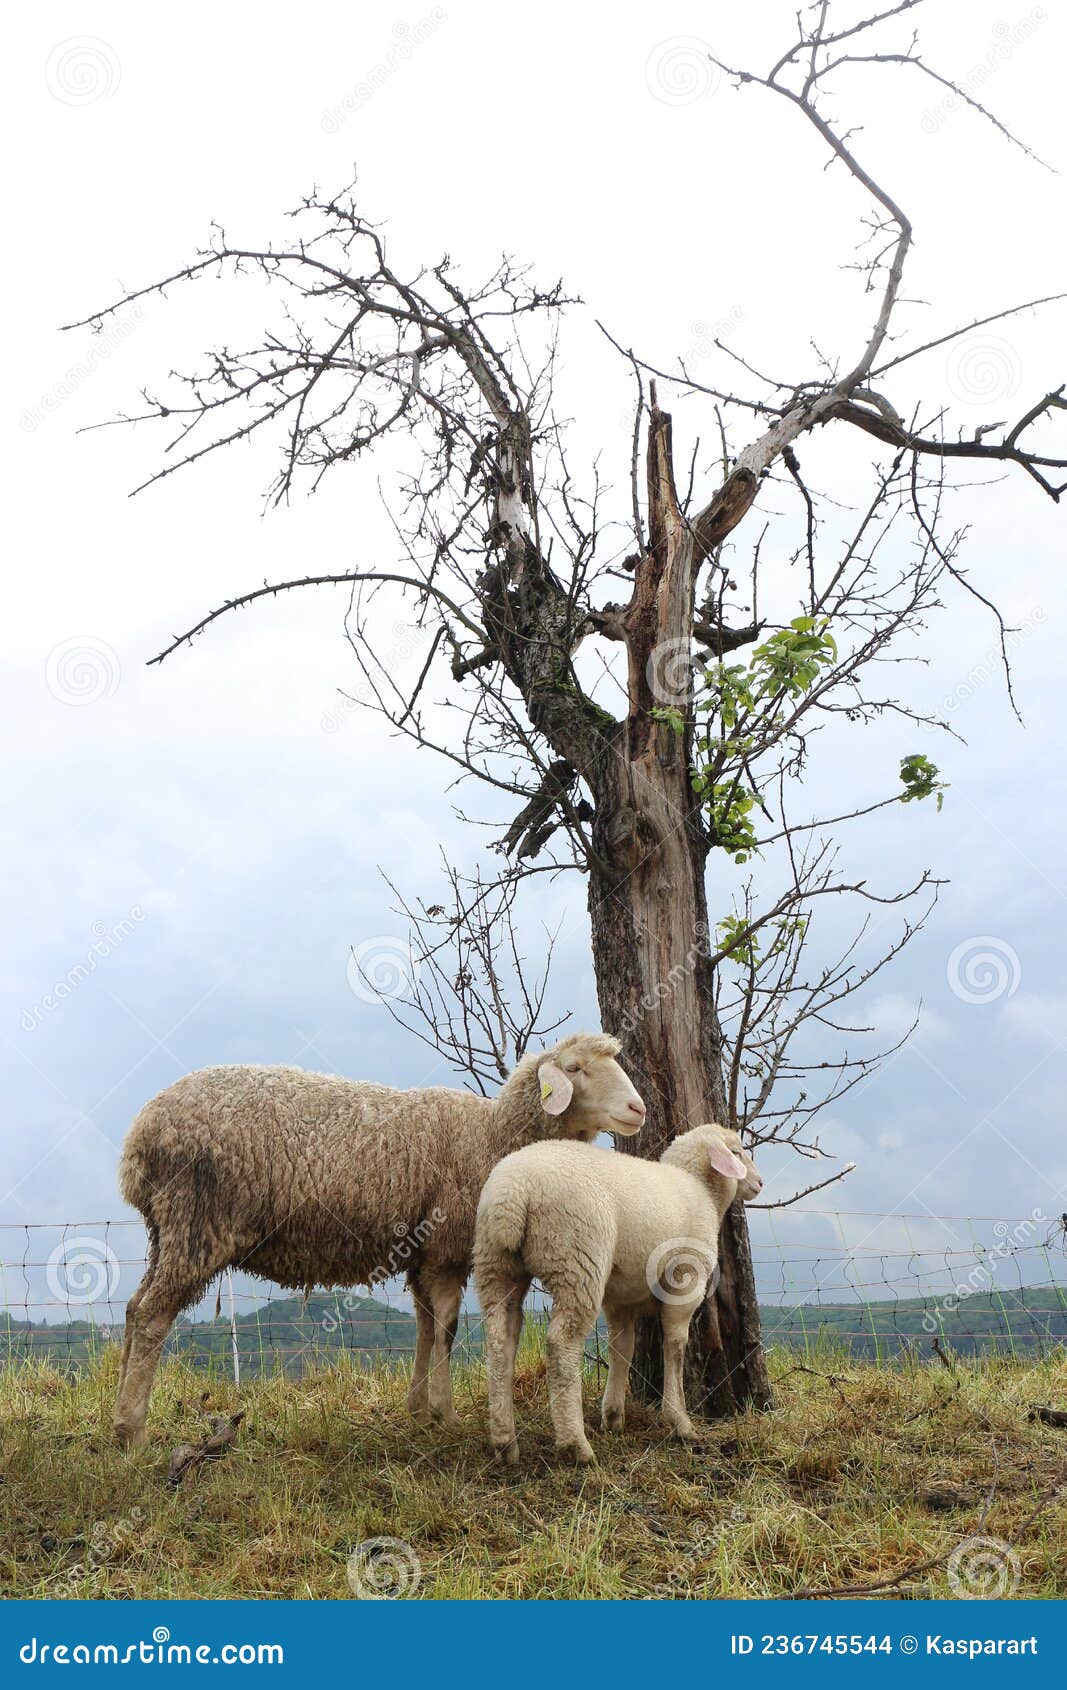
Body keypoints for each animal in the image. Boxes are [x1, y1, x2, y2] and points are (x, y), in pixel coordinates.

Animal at [112, 1031, 645, 1447]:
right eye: (575, 1068)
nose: (638, 1108)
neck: (491, 1137)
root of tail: (139, 1140)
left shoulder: (423, 1252)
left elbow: (426, 1326)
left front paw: (418, 1409)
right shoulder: (446, 1250)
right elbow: (448, 1329)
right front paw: (446, 1412)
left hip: (166, 1230)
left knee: (134, 1309)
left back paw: (116, 1420)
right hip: (197, 1222)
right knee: (154, 1315)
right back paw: (134, 1431)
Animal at [473, 1122, 762, 1465]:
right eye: (736, 1152)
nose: (759, 1183)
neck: (701, 1188)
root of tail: (514, 1191)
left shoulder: (622, 1296)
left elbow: (622, 1347)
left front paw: (613, 1416)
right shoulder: (685, 1282)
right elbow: (675, 1346)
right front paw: (680, 1421)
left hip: (494, 1263)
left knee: (499, 1341)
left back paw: (505, 1442)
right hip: (576, 1257)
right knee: (561, 1345)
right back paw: (576, 1444)